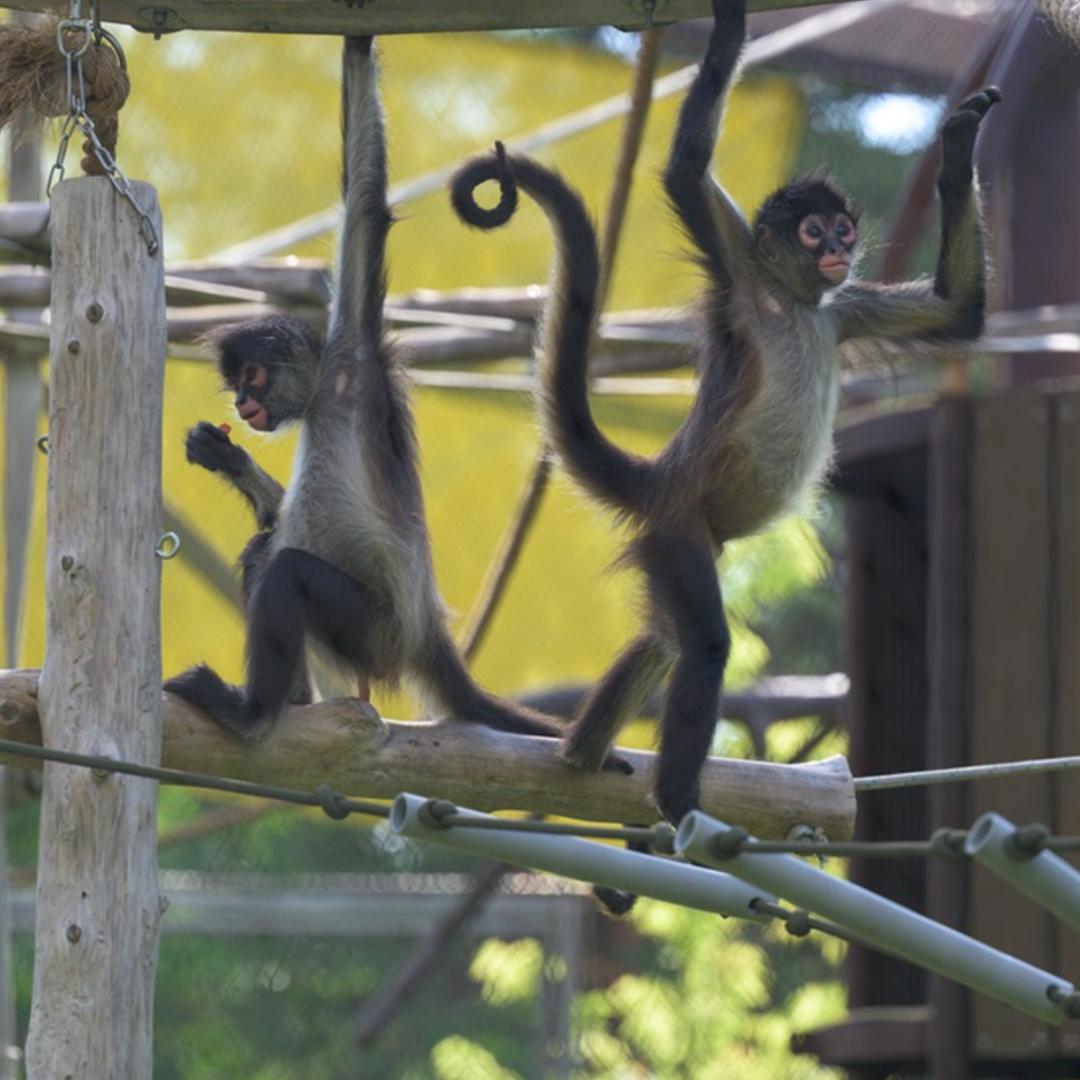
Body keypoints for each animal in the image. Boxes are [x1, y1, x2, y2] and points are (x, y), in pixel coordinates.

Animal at [164, 36, 564, 744]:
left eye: (252, 377)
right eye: (235, 386)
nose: (241, 405)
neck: (327, 390)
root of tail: (425, 633)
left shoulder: (353, 346)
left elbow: (364, 201)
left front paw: (357, 41)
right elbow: (273, 517)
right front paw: (224, 455)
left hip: (375, 632)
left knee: (284, 570)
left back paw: (255, 714)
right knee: (263, 549)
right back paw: (291, 701)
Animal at [450, 0, 999, 826]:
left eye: (842, 232)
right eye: (812, 231)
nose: (838, 250)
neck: (793, 303)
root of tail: (664, 477)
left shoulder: (844, 312)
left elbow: (960, 312)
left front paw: (960, 144)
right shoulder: (740, 275)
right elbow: (682, 167)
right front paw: (730, 21)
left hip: (688, 539)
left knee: (662, 641)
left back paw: (581, 756)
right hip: (679, 533)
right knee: (701, 645)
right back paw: (677, 804)